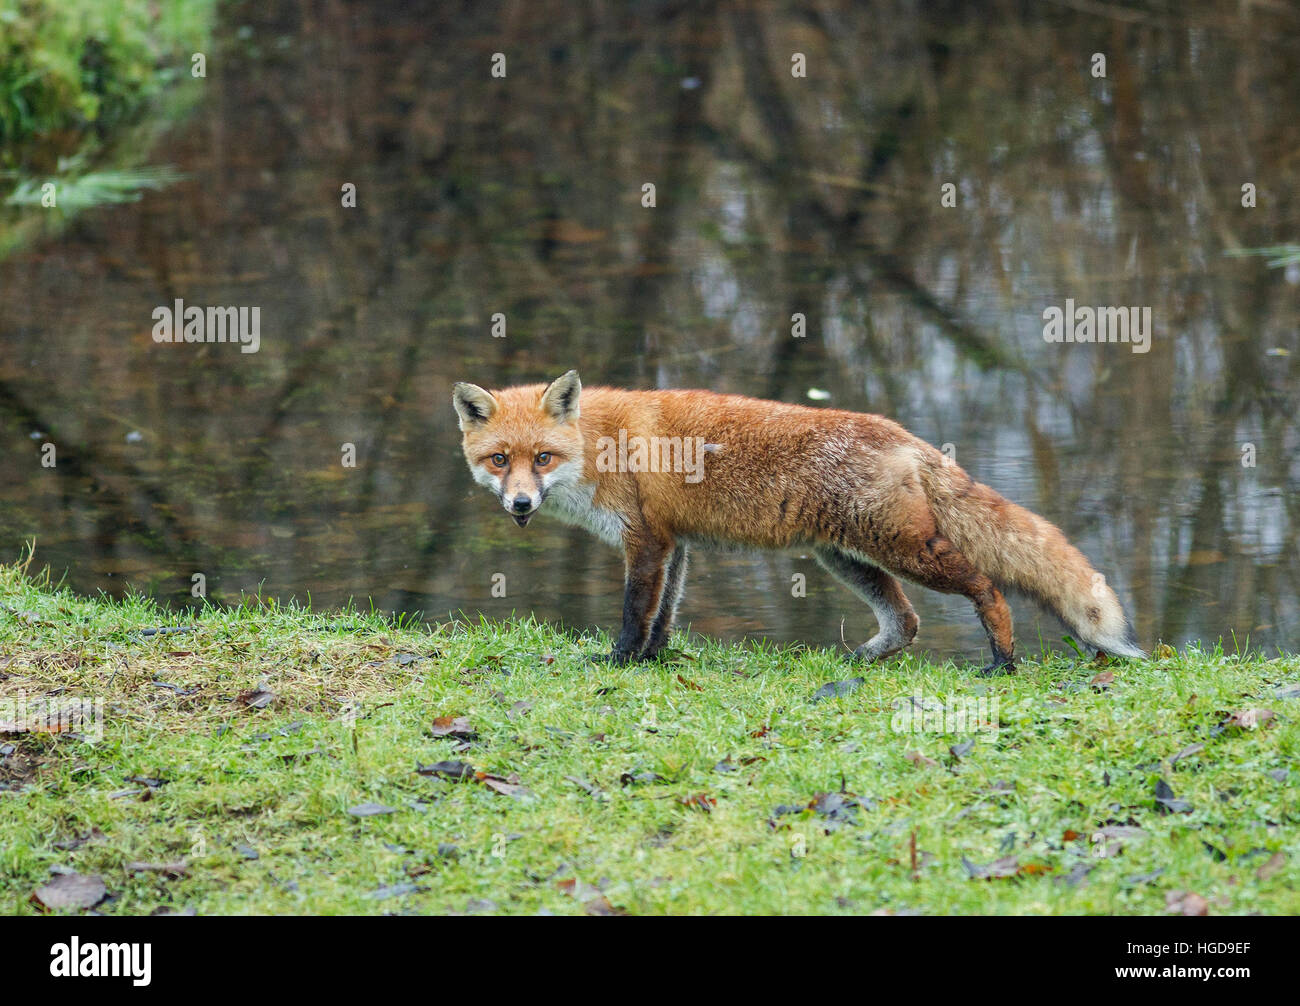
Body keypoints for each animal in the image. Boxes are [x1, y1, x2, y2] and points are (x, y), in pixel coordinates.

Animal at [452, 370, 1145, 673]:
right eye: (499, 460)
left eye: (542, 458)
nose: (520, 505)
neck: (600, 445)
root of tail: (900, 433)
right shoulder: (676, 544)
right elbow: (664, 615)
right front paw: (653, 659)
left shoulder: (645, 541)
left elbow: (633, 611)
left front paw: (619, 662)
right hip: (845, 558)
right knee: (907, 621)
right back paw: (858, 662)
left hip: (900, 548)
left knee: (987, 587)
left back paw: (1002, 659)